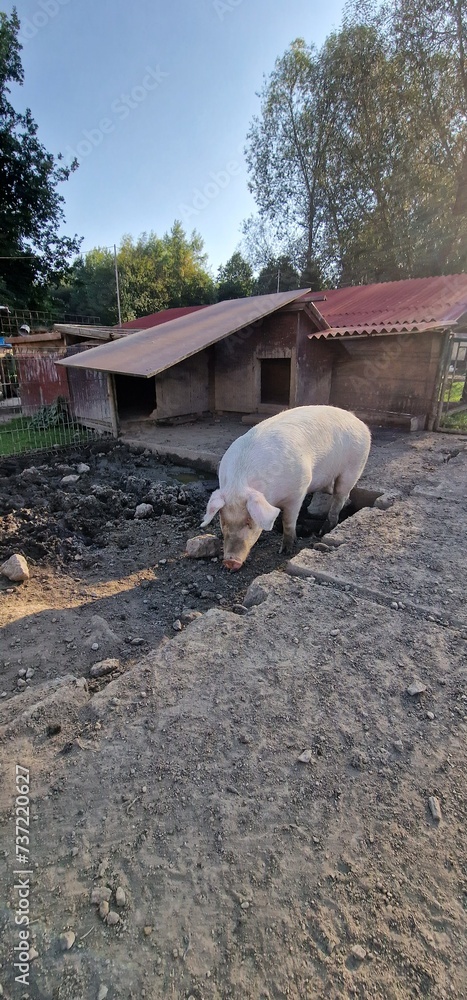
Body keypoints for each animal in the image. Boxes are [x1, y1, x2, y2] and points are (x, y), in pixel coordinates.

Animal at [201, 405, 371, 571]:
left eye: (250, 521)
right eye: (223, 521)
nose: (230, 561)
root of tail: (357, 420)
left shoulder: (298, 490)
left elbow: (288, 520)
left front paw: (285, 551)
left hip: (354, 466)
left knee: (340, 496)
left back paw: (324, 530)